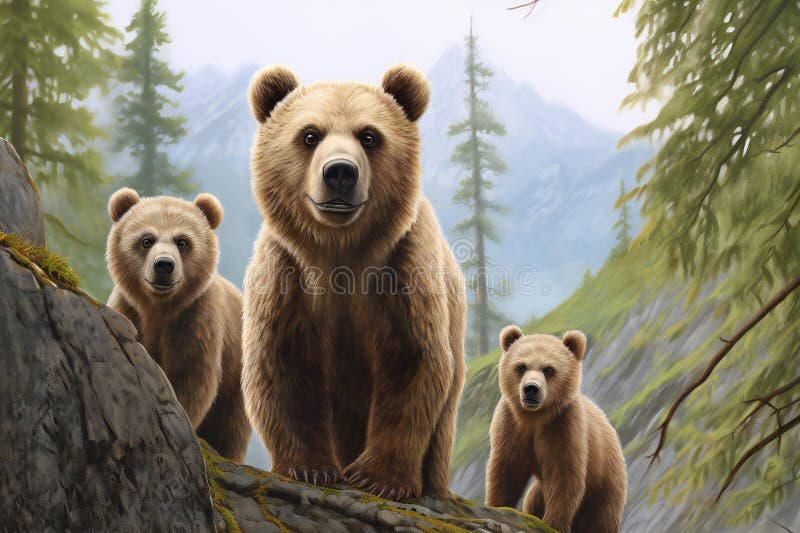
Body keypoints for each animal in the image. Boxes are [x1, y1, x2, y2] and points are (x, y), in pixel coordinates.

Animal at [106, 187, 250, 462]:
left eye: (182, 241)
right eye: (147, 239)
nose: (164, 265)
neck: (159, 309)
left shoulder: (195, 320)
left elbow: (191, 376)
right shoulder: (128, 310)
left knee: (231, 427)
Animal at [241, 64, 466, 500]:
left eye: (369, 135)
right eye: (310, 135)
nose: (341, 172)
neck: (340, 252)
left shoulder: (403, 271)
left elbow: (412, 362)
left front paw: (378, 477)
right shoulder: (286, 277)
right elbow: (284, 365)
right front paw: (310, 467)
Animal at [485, 326, 627, 533]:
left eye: (549, 369)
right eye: (521, 366)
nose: (531, 388)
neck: (535, 418)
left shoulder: (564, 426)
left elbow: (564, 476)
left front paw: (552, 523)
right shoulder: (510, 424)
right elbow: (507, 470)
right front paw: (497, 507)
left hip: (605, 483)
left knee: (600, 518)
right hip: (540, 490)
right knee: (533, 500)